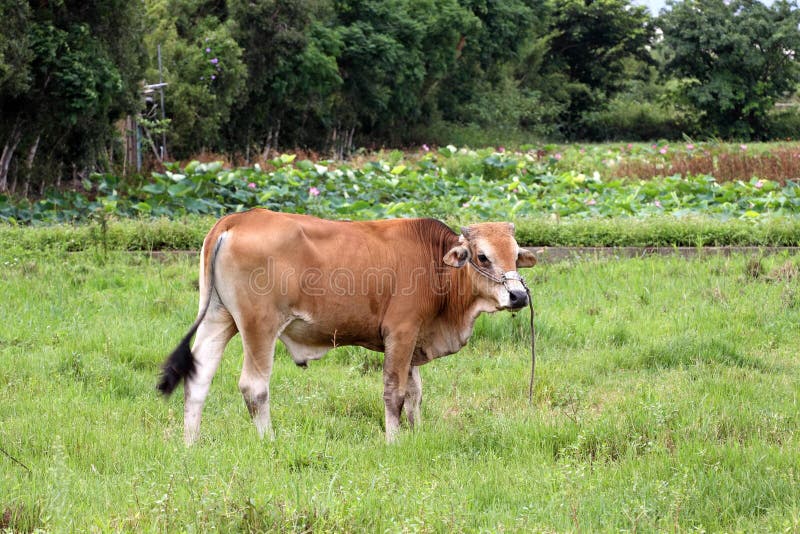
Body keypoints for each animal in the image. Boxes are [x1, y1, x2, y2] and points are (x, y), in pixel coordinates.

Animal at [157, 209, 537, 444]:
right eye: (483, 256)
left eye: (516, 255)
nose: (518, 295)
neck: (435, 265)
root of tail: (236, 219)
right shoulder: (401, 332)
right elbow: (395, 393)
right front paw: (394, 441)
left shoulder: (414, 340)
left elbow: (415, 394)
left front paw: (416, 434)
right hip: (258, 326)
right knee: (254, 387)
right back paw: (269, 441)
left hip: (218, 319)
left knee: (198, 381)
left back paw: (191, 444)